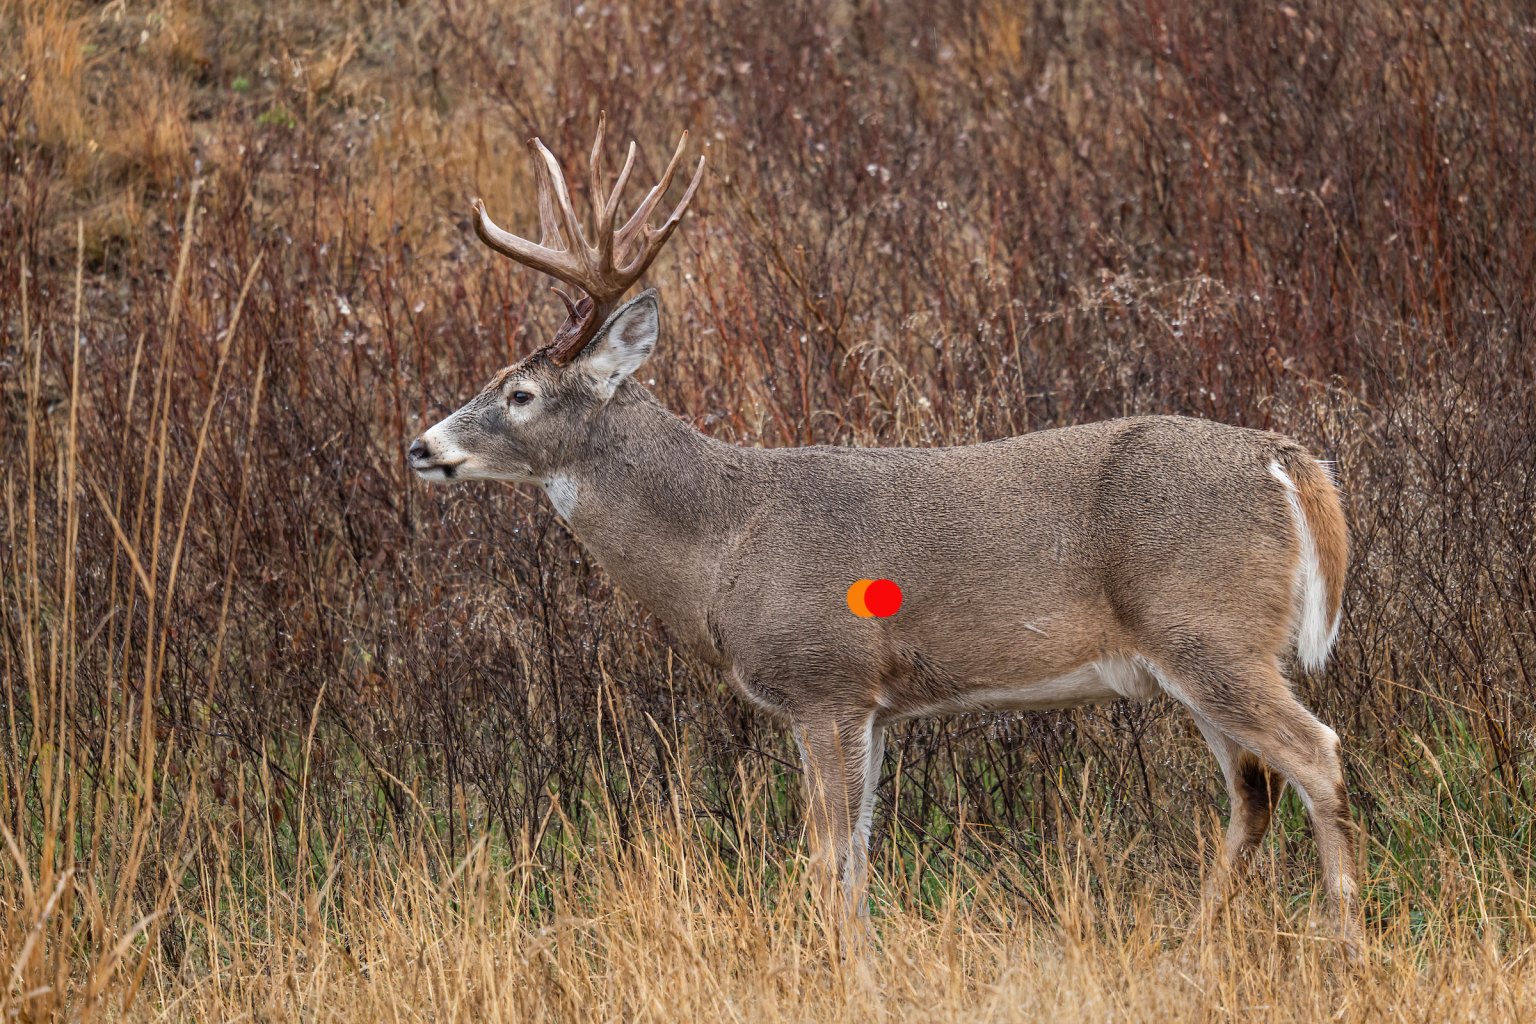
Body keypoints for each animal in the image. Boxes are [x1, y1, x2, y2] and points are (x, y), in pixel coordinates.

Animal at [408, 119, 1360, 954]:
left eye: (521, 393)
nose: (422, 447)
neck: (722, 539)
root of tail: (1289, 462)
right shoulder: (871, 703)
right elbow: (860, 854)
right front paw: (864, 959)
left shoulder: (825, 678)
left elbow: (829, 854)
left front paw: (838, 967)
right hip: (1196, 654)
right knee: (1254, 792)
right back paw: (1191, 947)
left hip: (1209, 630)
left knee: (1317, 755)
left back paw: (1344, 944)